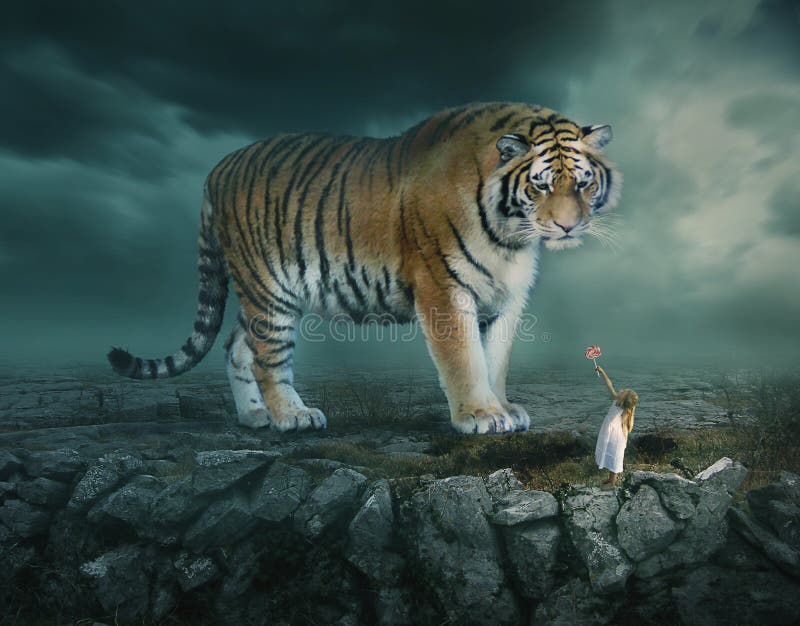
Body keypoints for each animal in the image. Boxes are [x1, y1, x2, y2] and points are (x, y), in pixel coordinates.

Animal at [108, 102, 621, 435]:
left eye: (582, 183)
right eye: (540, 186)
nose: (568, 225)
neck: (509, 236)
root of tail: (219, 168)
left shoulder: (507, 297)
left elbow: (495, 358)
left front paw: (504, 409)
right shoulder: (443, 287)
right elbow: (464, 358)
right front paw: (478, 415)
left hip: (260, 291)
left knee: (237, 346)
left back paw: (255, 417)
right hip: (268, 288)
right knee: (267, 357)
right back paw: (291, 417)